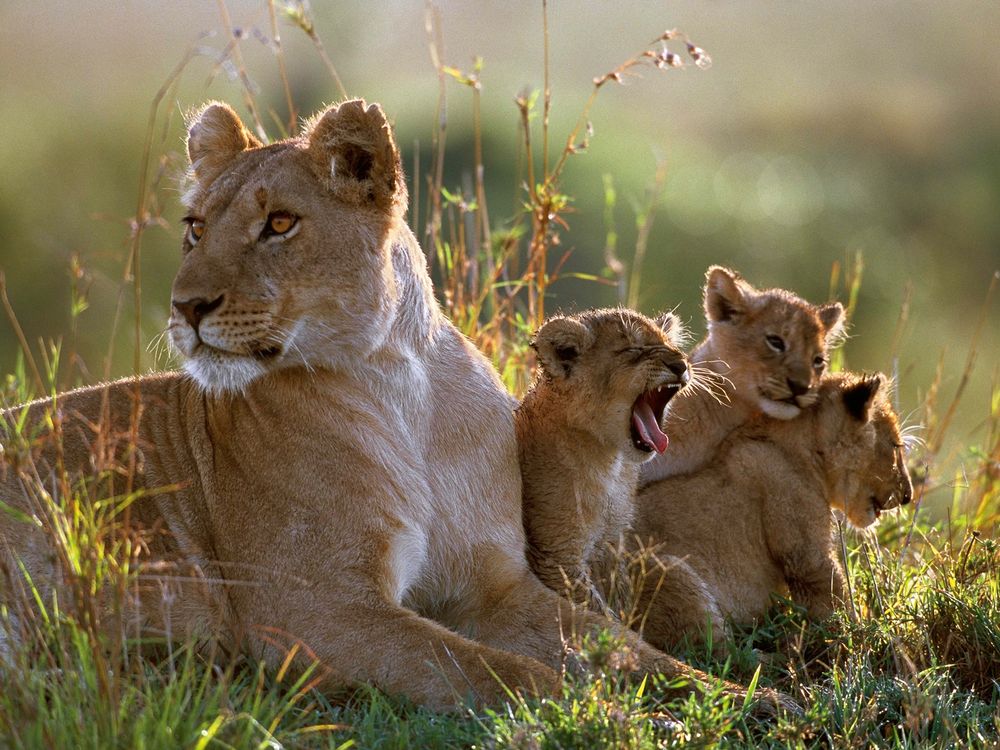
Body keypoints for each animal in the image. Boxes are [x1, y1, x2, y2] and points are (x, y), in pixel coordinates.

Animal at [516, 308, 689, 608]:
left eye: (670, 343)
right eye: (633, 348)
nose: (681, 364)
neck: (610, 461)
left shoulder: (611, 543)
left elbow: (620, 596)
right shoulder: (556, 556)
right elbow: (594, 608)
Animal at [630, 371, 913, 653]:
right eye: (896, 446)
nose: (908, 495)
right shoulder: (807, 555)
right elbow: (835, 602)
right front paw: (867, 638)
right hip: (669, 573)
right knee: (720, 653)